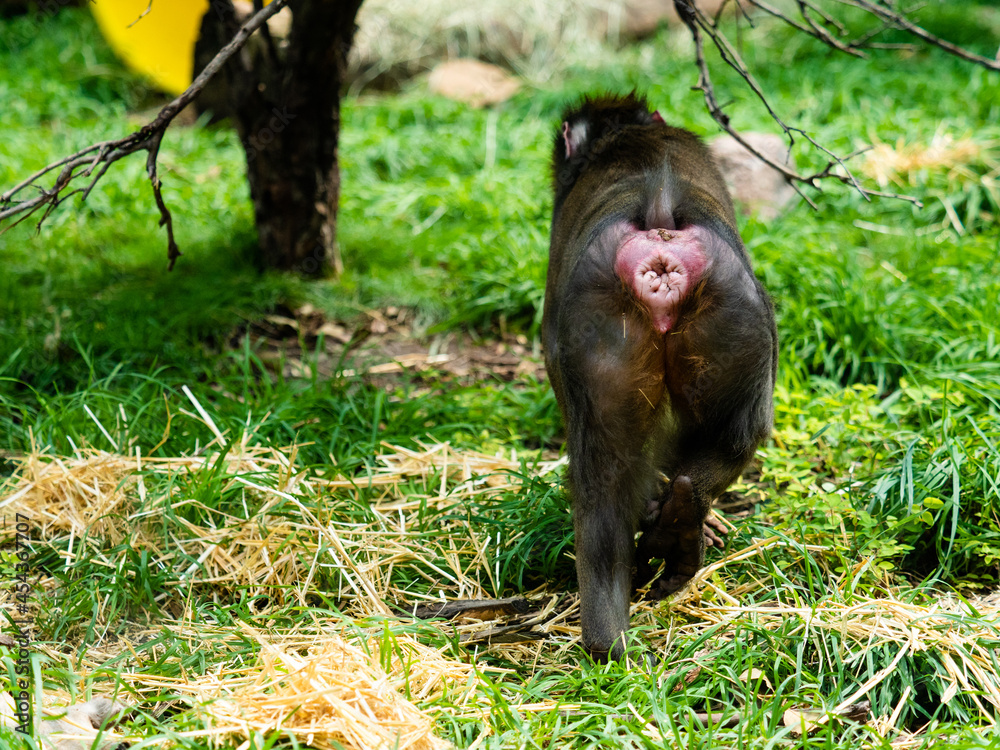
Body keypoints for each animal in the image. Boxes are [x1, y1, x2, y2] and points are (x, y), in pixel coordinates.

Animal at [542, 94, 777, 662]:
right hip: (734, 306)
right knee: (734, 437)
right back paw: (678, 527)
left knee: (604, 482)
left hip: (608, 306)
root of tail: (659, 220)